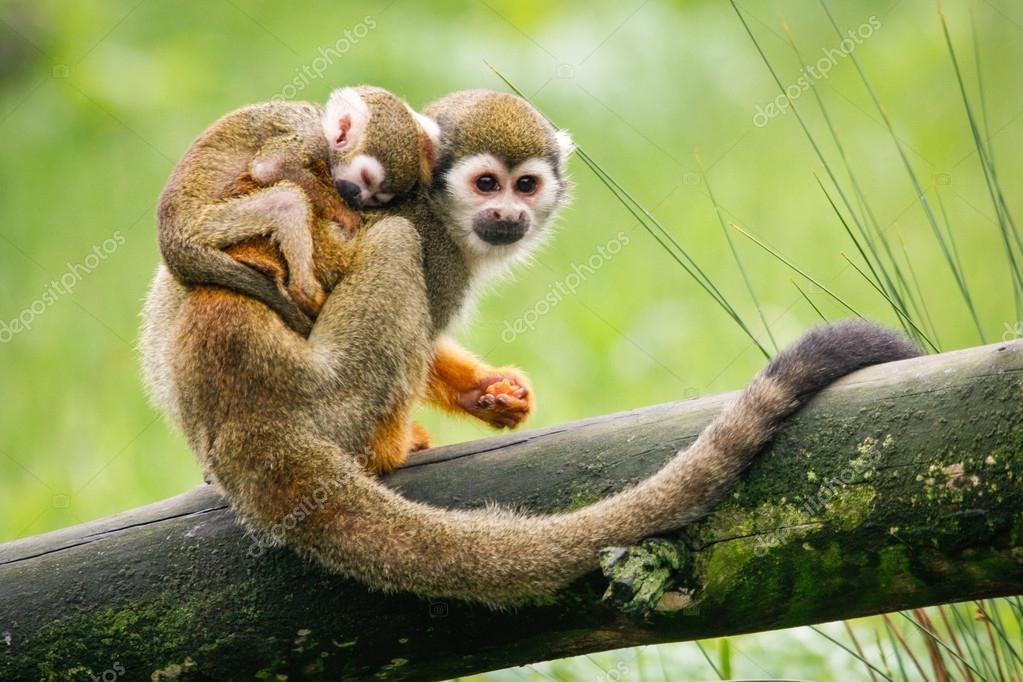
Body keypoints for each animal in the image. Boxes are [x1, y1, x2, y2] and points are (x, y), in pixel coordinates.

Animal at [157, 85, 440, 335]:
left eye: (378, 197)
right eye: (366, 179)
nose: (359, 199)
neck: (321, 123)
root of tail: (170, 246)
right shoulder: (312, 137)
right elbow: (269, 167)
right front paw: (343, 213)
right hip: (203, 225)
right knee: (288, 201)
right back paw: (307, 293)